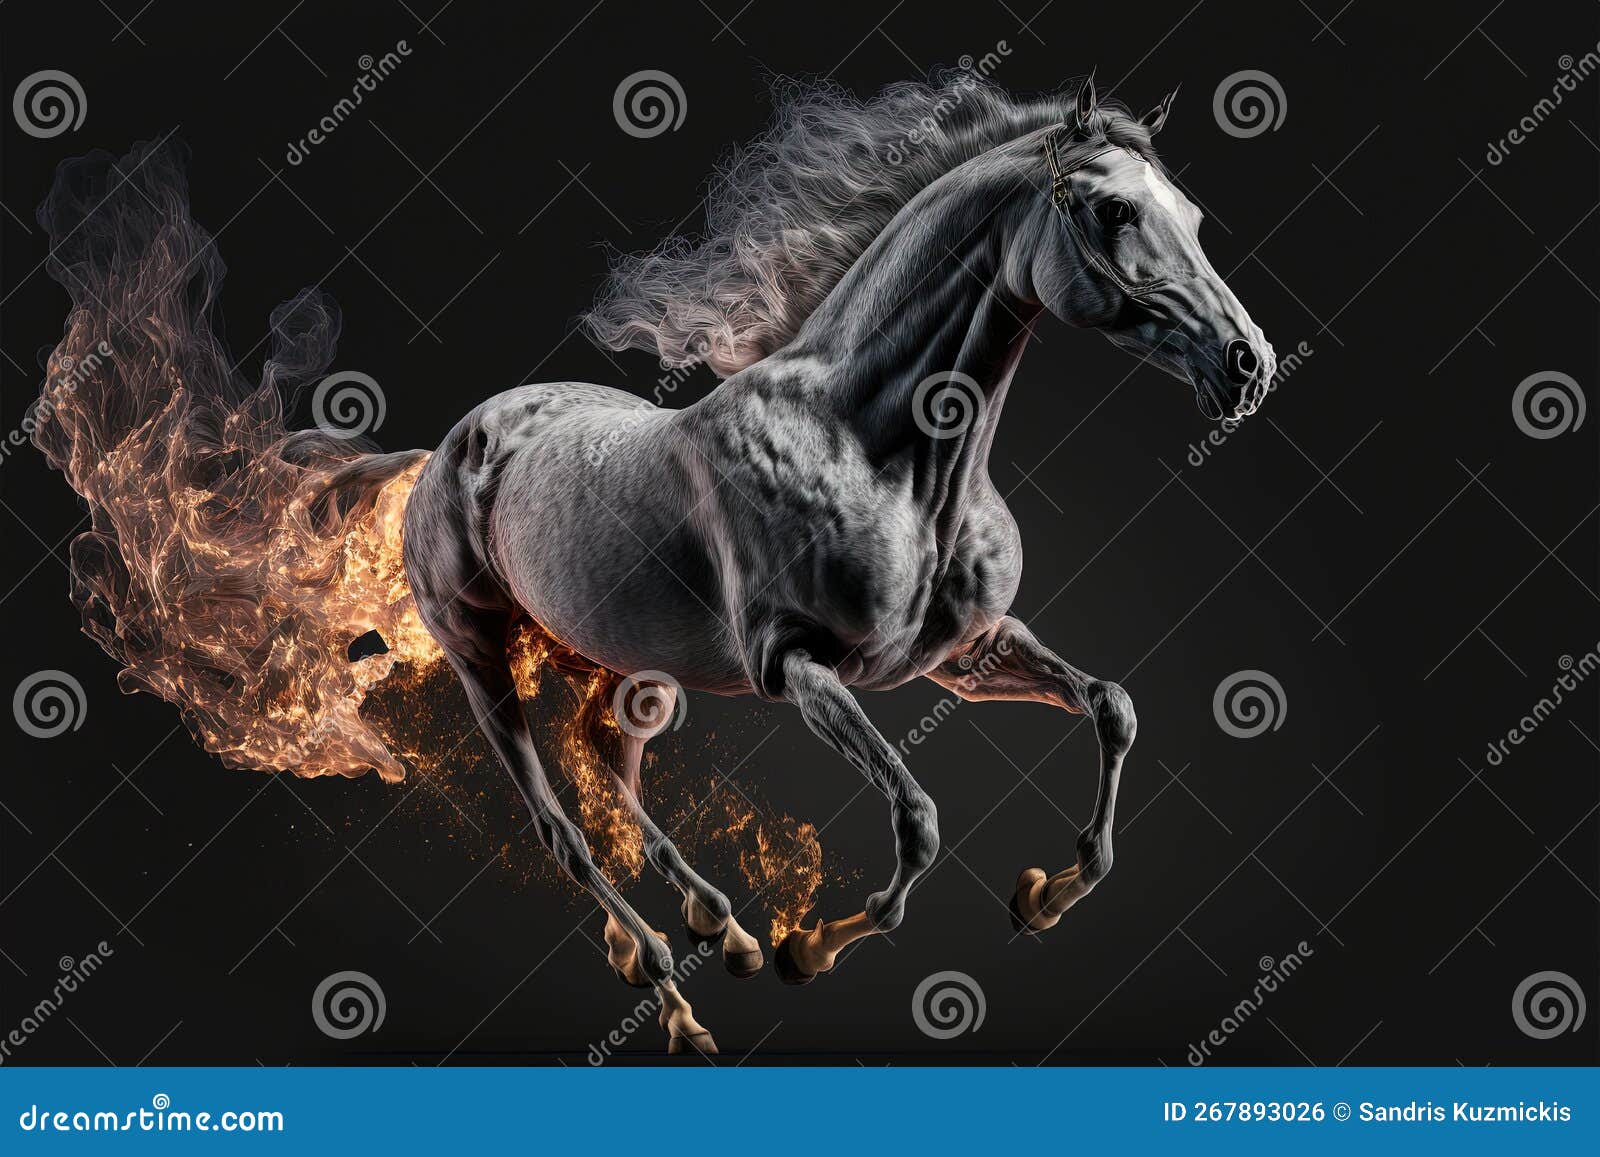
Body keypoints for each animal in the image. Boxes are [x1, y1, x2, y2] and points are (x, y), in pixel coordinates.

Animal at [400, 74, 1275, 1054]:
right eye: (1113, 209)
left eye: (1192, 215)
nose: (1249, 365)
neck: (871, 443)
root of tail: (451, 444)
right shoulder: (799, 667)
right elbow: (918, 819)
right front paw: (810, 946)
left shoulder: (965, 655)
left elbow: (1113, 708)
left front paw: (1049, 892)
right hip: (482, 661)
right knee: (562, 830)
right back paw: (672, 987)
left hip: (624, 668)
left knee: (610, 768)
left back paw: (718, 927)